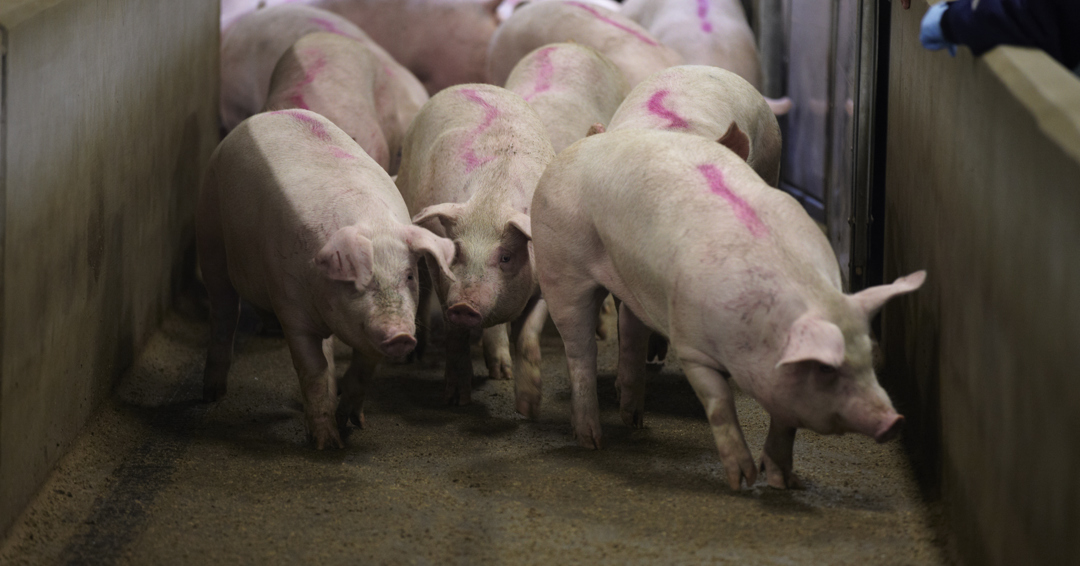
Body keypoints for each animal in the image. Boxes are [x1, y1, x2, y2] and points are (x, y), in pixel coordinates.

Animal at [198, 109, 455, 449]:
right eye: (357, 281)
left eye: (409, 275)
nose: (401, 336)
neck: (371, 224)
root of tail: (268, 113)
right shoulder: (290, 307)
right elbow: (312, 369)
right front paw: (327, 445)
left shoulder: (370, 331)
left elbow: (362, 369)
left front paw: (352, 422)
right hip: (210, 231)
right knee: (224, 312)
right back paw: (211, 395)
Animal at [395, 84, 556, 407]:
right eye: (456, 251)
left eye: (506, 257)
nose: (464, 305)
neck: (491, 201)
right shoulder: (444, 280)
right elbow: (455, 335)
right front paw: (456, 401)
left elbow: (528, 335)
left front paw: (529, 404)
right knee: (423, 286)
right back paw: (413, 357)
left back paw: (501, 372)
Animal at [531, 128, 925, 489]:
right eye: (827, 369)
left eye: (868, 356)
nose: (894, 421)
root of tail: (579, 146)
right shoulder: (691, 346)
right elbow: (720, 402)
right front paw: (742, 481)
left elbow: (786, 420)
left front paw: (782, 481)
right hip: (560, 269)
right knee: (580, 352)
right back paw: (593, 441)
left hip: (631, 279)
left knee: (631, 328)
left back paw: (635, 420)